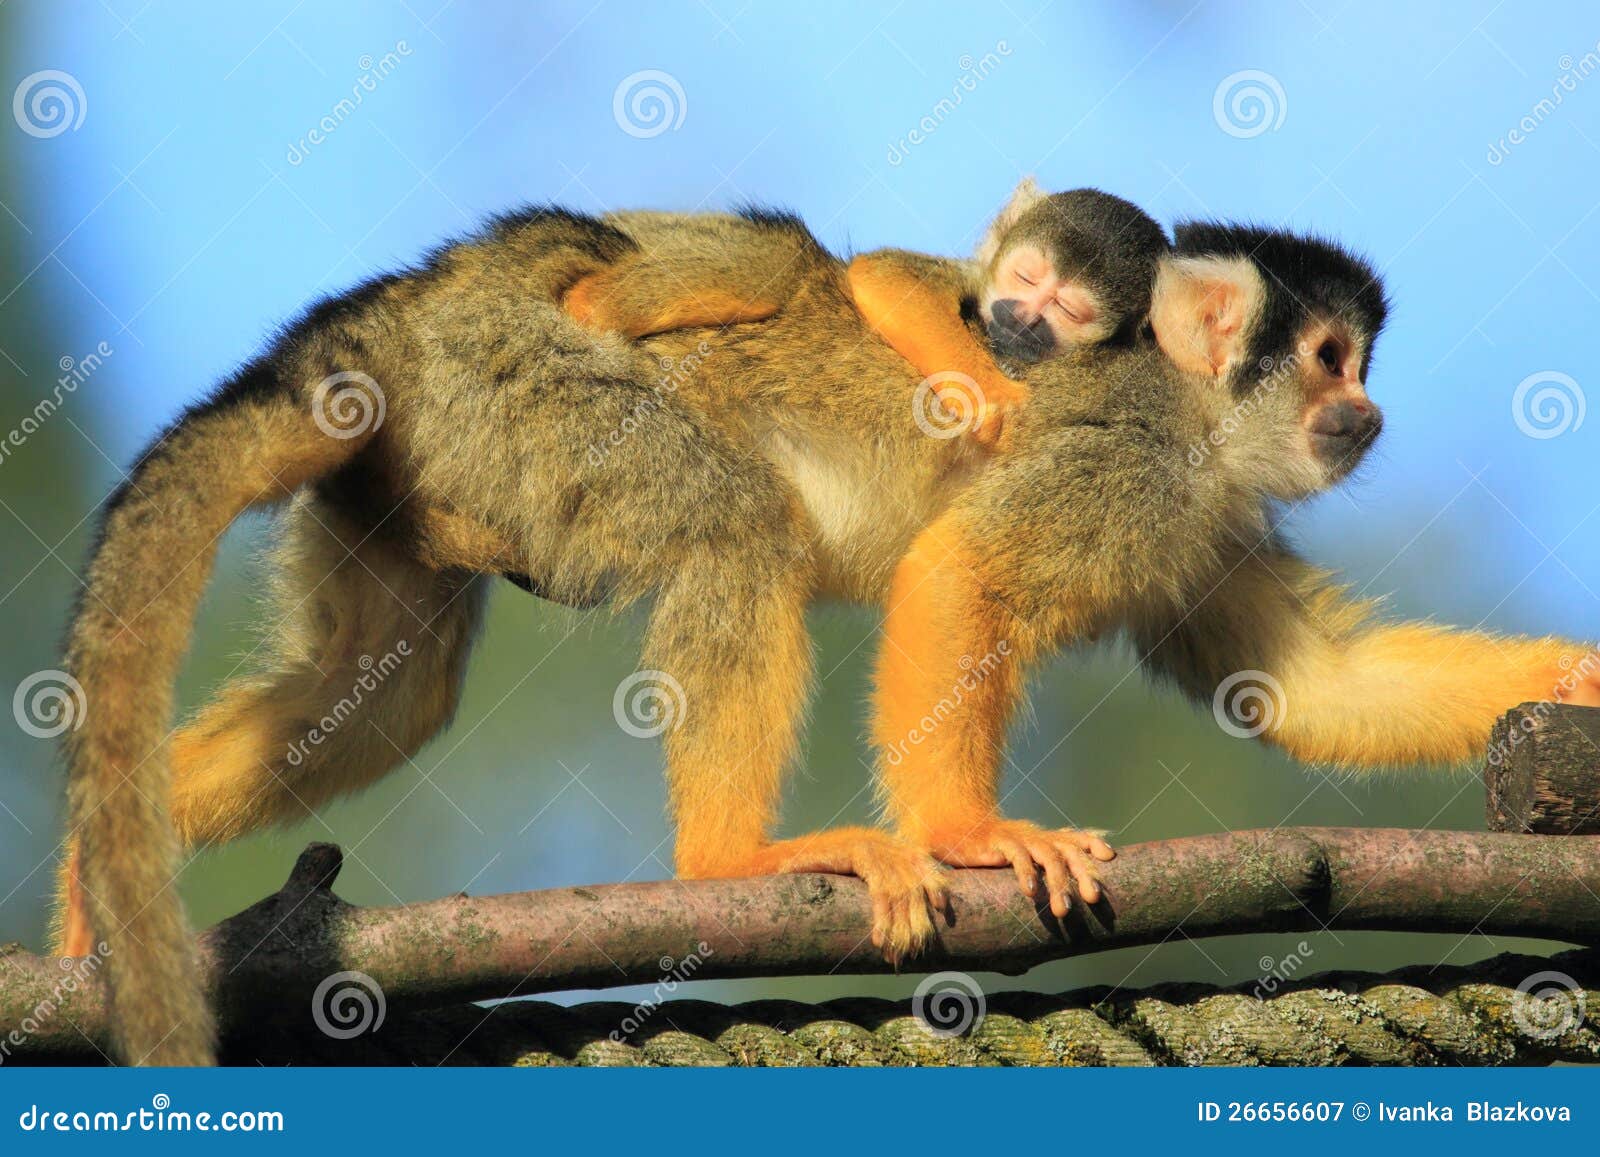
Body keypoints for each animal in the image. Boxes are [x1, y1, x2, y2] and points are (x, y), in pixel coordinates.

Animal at [562, 180, 1169, 443]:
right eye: (1024, 277)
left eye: (1066, 309)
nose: (1019, 320)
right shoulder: (974, 278)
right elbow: (886, 275)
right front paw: (997, 399)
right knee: (784, 262)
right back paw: (590, 306)